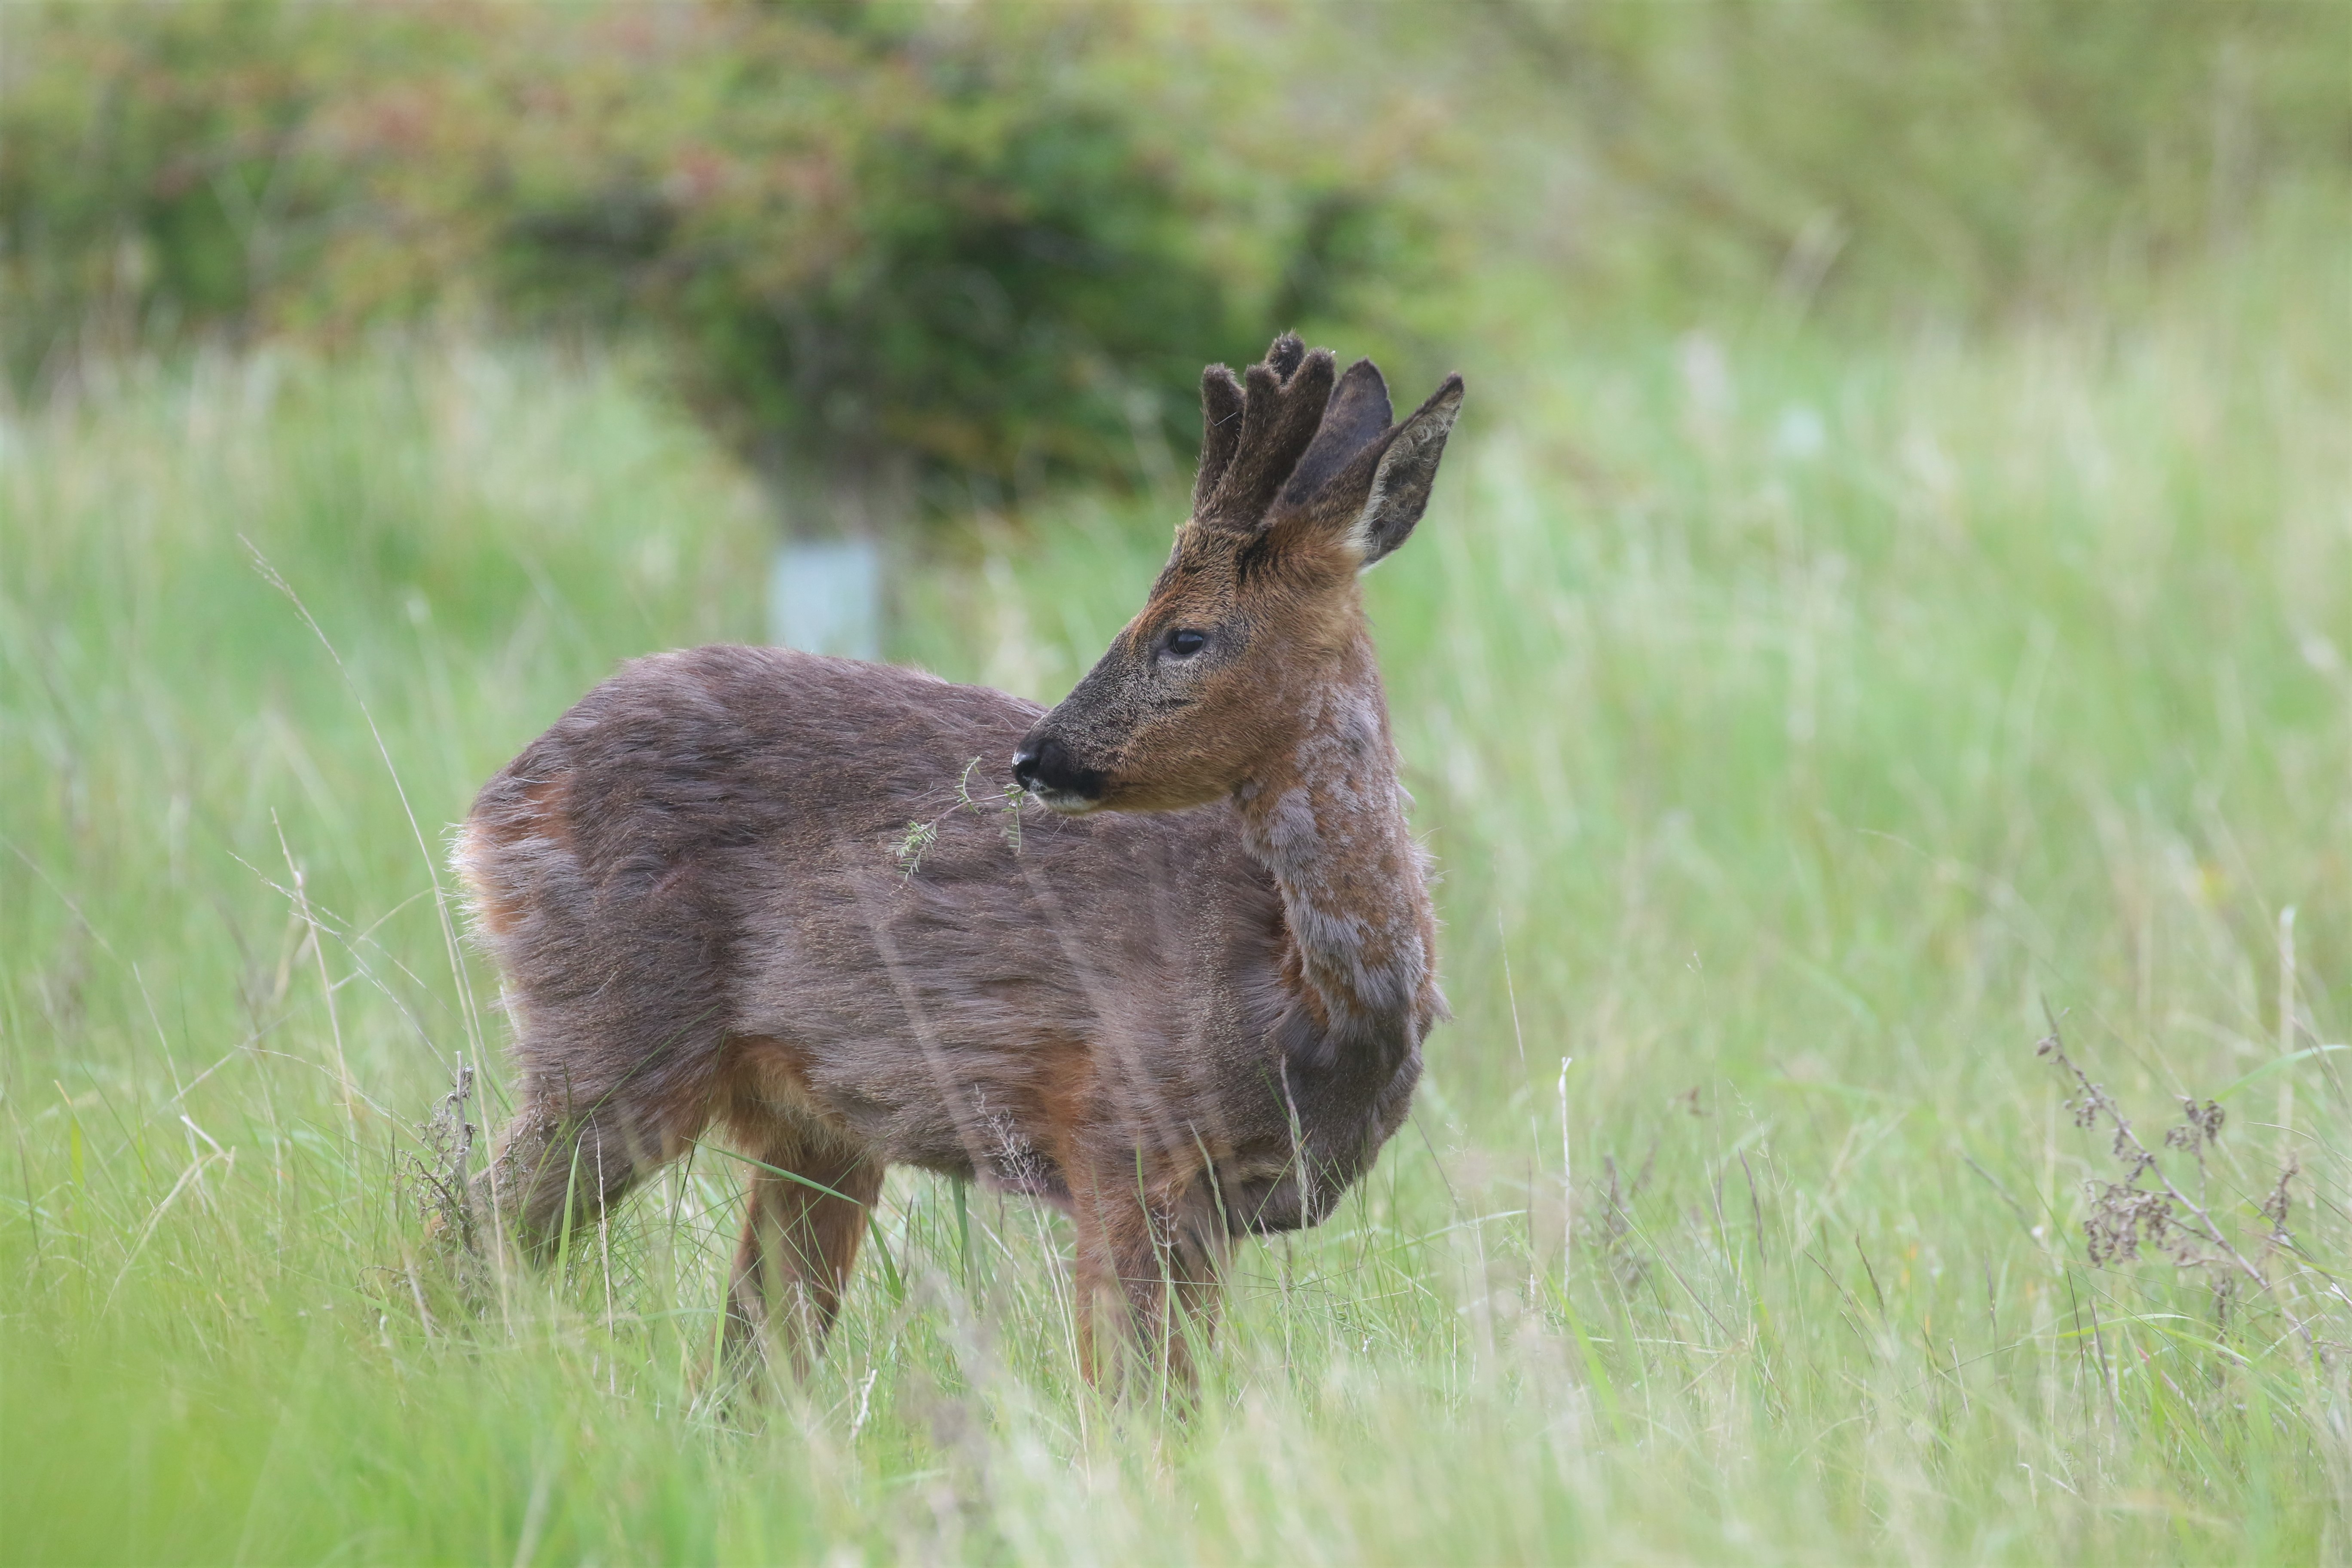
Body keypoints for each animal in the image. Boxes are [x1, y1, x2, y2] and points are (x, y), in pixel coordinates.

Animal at [454, 334, 1463, 1387]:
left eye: (1185, 635)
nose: (1035, 755)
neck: (1305, 999)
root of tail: (499, 802)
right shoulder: (1121, 1133)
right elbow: (1133, 1400)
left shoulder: (1216, 1201)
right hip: (612, 1039)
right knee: (468, 1229)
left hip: (811, 1128)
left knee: (748, 1358)